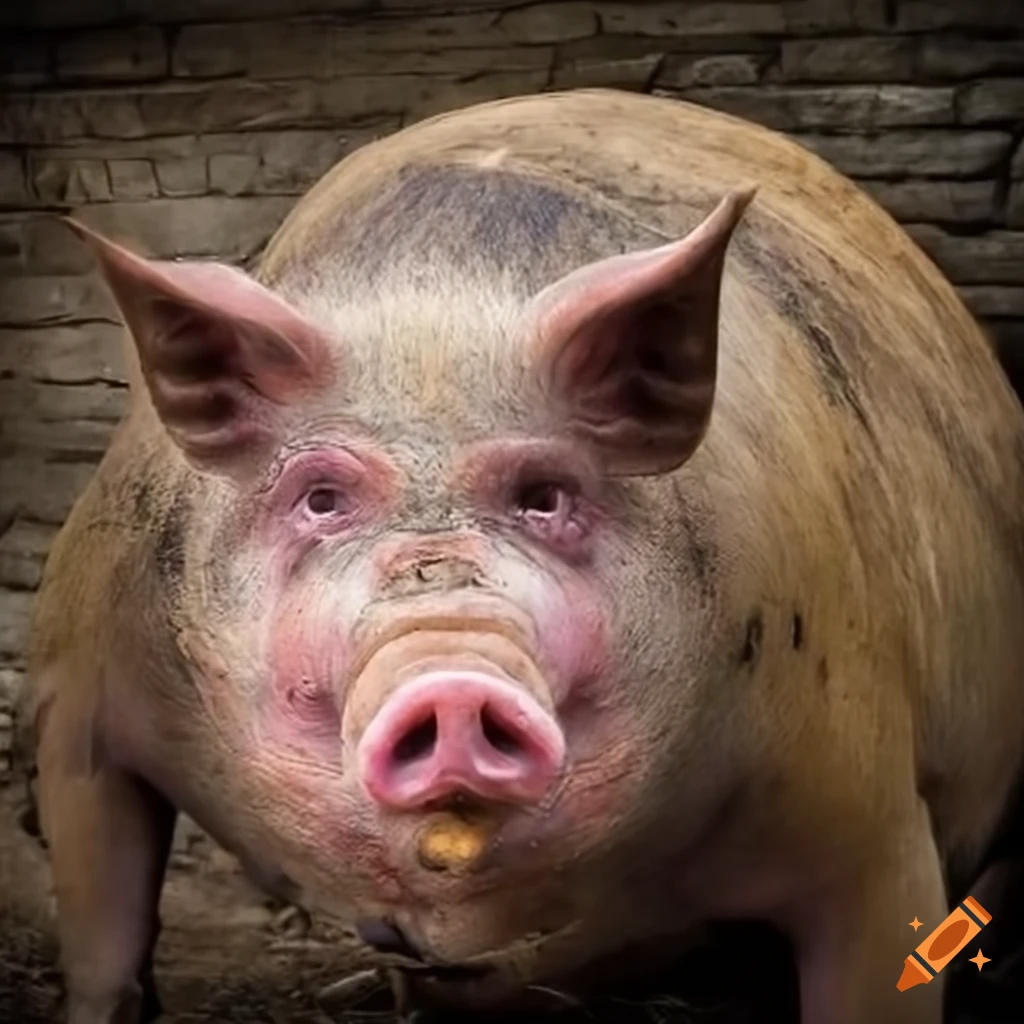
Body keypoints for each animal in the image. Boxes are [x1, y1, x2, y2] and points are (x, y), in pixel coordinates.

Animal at [15, 87, 1024, 1024]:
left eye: (545, 496)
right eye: (321, 498)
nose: (451, 672)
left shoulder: (861, 788)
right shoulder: (84, 678)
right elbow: (100, 910)